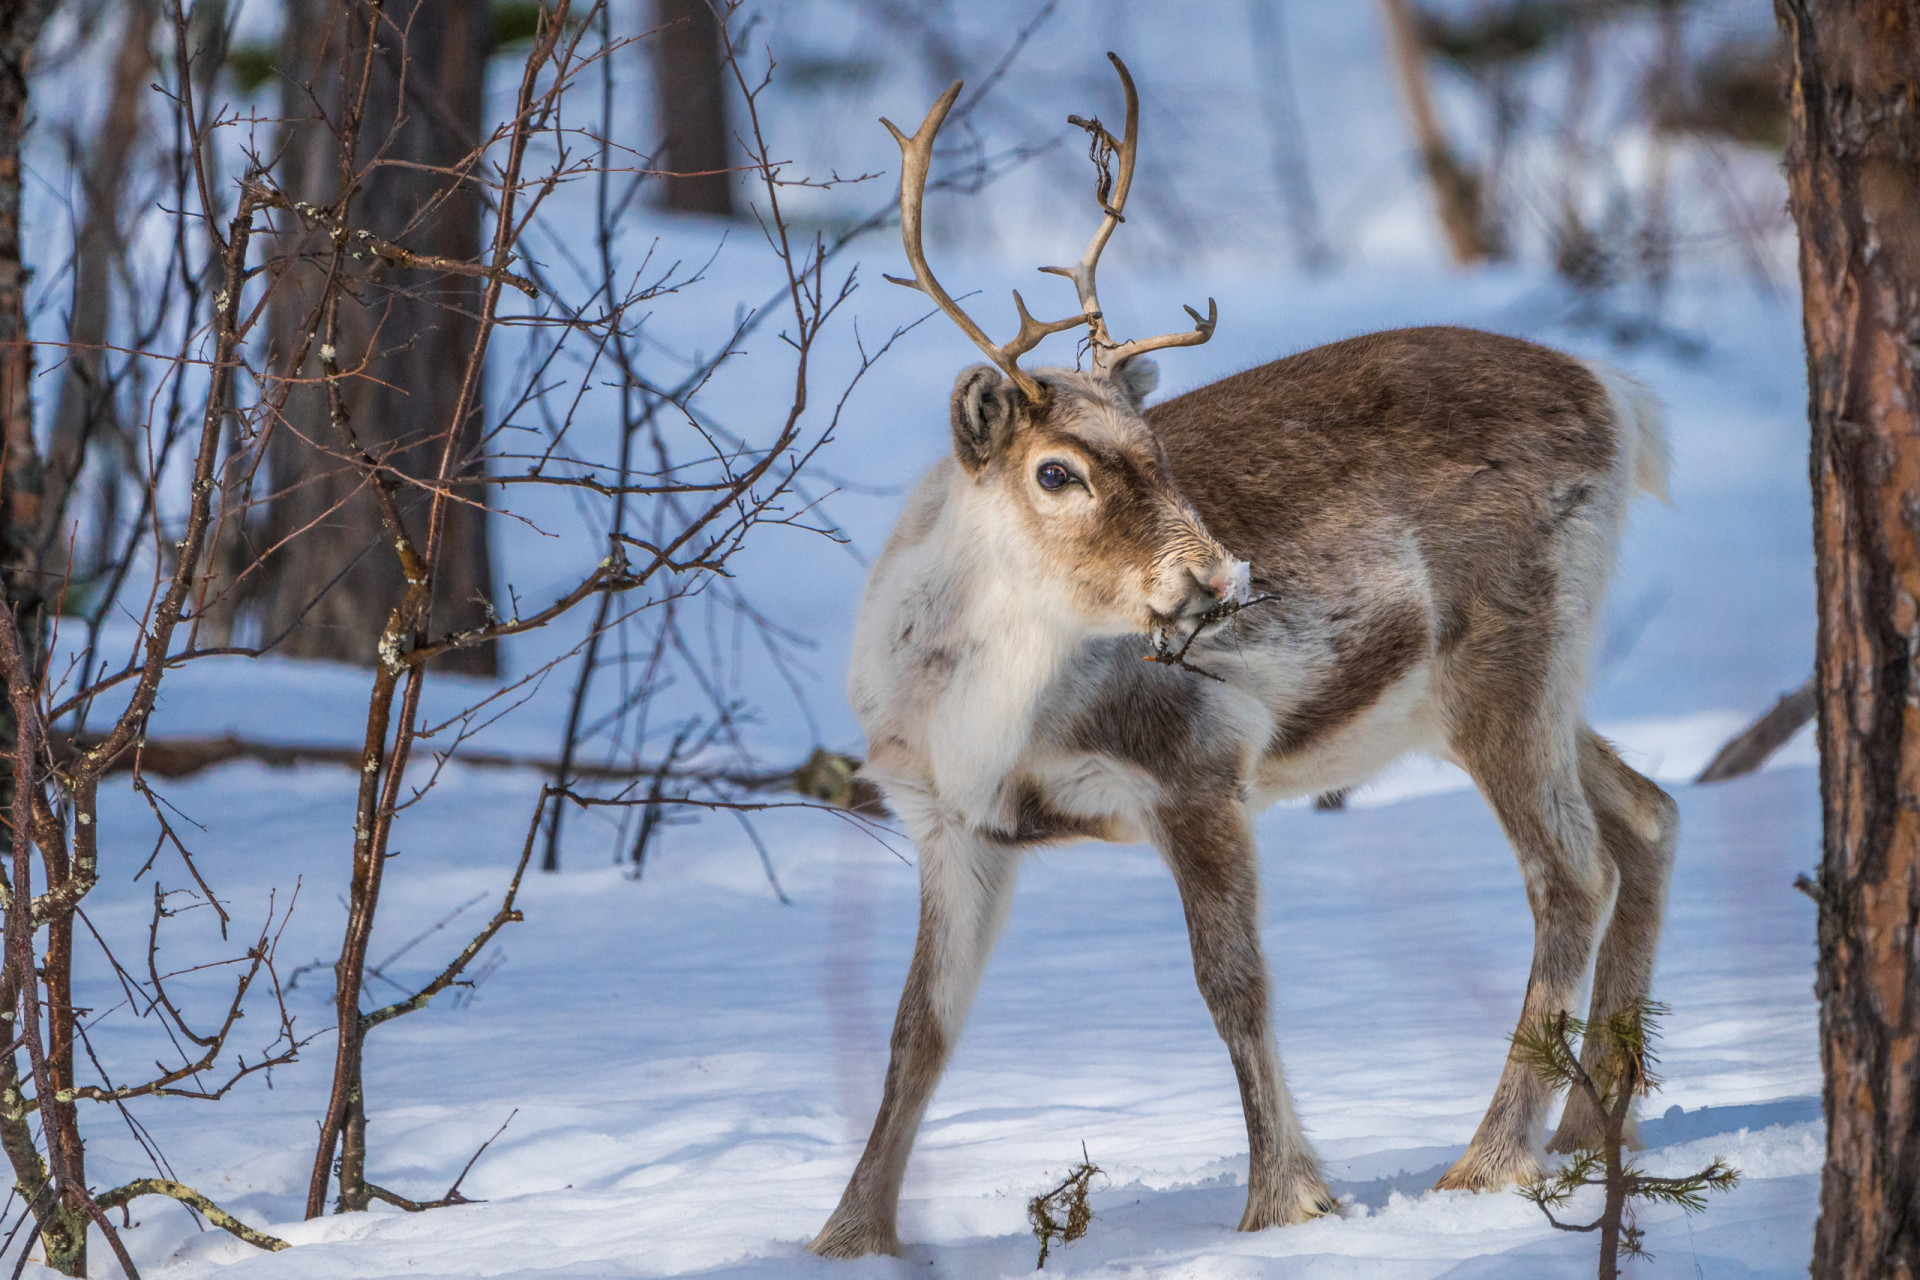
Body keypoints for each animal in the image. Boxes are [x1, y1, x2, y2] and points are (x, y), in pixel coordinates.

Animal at [808, 54, 1678, 1259]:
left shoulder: (1196, 762)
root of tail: (1620, 396)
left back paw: (1490, 1158)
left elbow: (1233, 985)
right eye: (1057, 470)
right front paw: (847, 1233)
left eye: (1157, 451)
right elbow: (916, 1033)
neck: (980, 705)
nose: (1222, 576)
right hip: (1497, 690)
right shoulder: (951, 822)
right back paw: (1595, 1127)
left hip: (1512, 659)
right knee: (1648, 814)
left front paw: (1285, 1201)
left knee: (1572, 869)